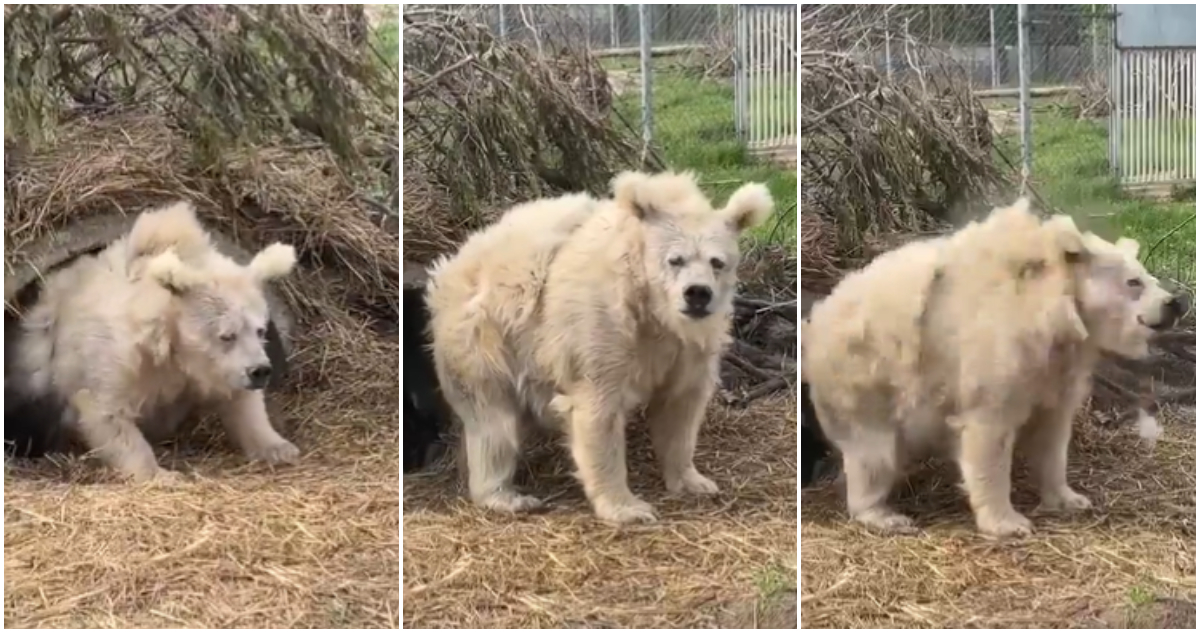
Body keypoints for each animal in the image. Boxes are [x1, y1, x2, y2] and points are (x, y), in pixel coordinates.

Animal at [8, 201, 301, 481]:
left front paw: (280, 447)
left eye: (260, 330)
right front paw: (160, 474)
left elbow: (242, 402)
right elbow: (107, 411)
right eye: (227, 334)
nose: (260, 371)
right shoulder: (117, 358)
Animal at [426, 171, 774, 524]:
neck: (652, 311)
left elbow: (680, 407)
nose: (698, 294)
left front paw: (694, 481)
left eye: (717, 262)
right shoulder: (602, 329)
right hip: (485, 338)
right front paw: (628, 508)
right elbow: (598, 411)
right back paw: (507, 496)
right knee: (493, 421)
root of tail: (453, 263)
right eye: (675, 260)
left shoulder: (687, 347)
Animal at [802, 198, 1185, 537]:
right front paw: (1008, 522)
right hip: (866, 377)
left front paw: (1070, 498)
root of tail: (818, 317)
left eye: (1149, 276)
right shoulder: (999, 355)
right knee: (873, 451)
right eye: (1133, 282)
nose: (1175, 304)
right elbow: (989, 433)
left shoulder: (1056, 369)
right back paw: (884, 515)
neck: (1050, 310)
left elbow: (1052, 433)